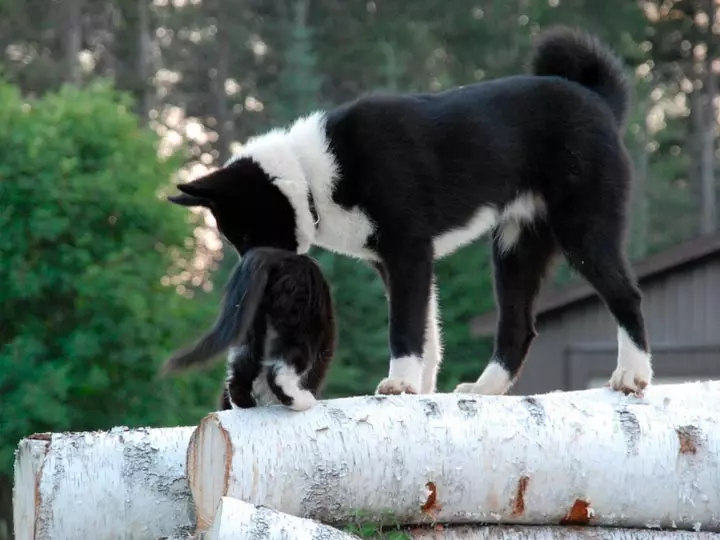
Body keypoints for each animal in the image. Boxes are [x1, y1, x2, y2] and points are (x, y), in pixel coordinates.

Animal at [160, 247, 334, 412]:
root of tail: (276, 255)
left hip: (249, 320)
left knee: (240, 369)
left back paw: (246, 404)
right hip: (301, 324)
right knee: (279, 371)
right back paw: (301, 400)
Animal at [167, 26, 652, 396]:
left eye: (248, 235)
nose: (249, 282)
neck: (311, 173)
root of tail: (599, 101)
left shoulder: (408, 253)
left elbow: (403, 328)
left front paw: (399, 384)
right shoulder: (396, 263)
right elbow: (428, 334)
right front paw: (420, 392)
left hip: (583, 232)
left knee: (626, 296)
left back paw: (632, 374)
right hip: (516, 247)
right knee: (518, 325)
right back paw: (485, 389)